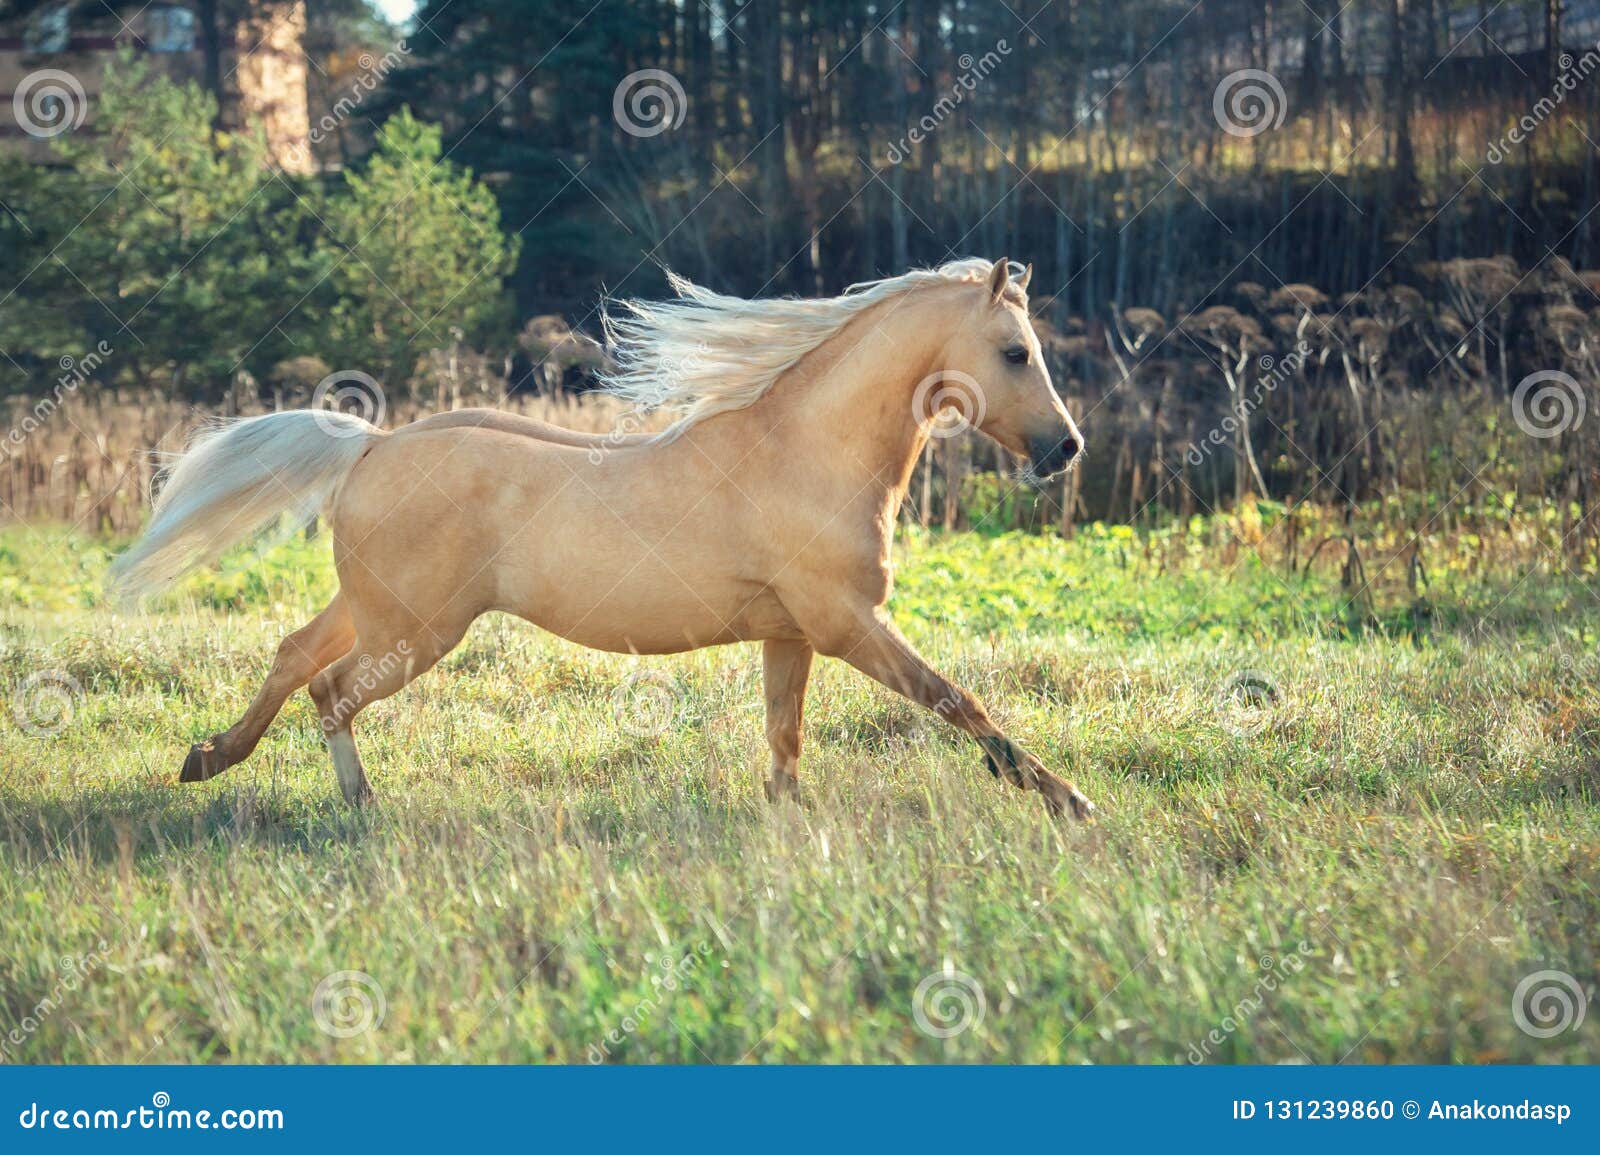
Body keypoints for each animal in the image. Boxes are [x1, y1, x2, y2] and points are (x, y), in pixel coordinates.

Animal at [110, 256, 1094, 820]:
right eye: (1016, 351)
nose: (1066, 448)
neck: (804, 450)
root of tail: (372, 444)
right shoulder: (846, 621)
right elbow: (959, 701)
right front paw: (1070, 800)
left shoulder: (791, 633)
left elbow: (785, 741)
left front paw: (786, 825)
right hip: (416, 632)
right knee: (331, 691)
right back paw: (361, 806)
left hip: (374, 610)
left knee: (291, 655)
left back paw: (208, 758)